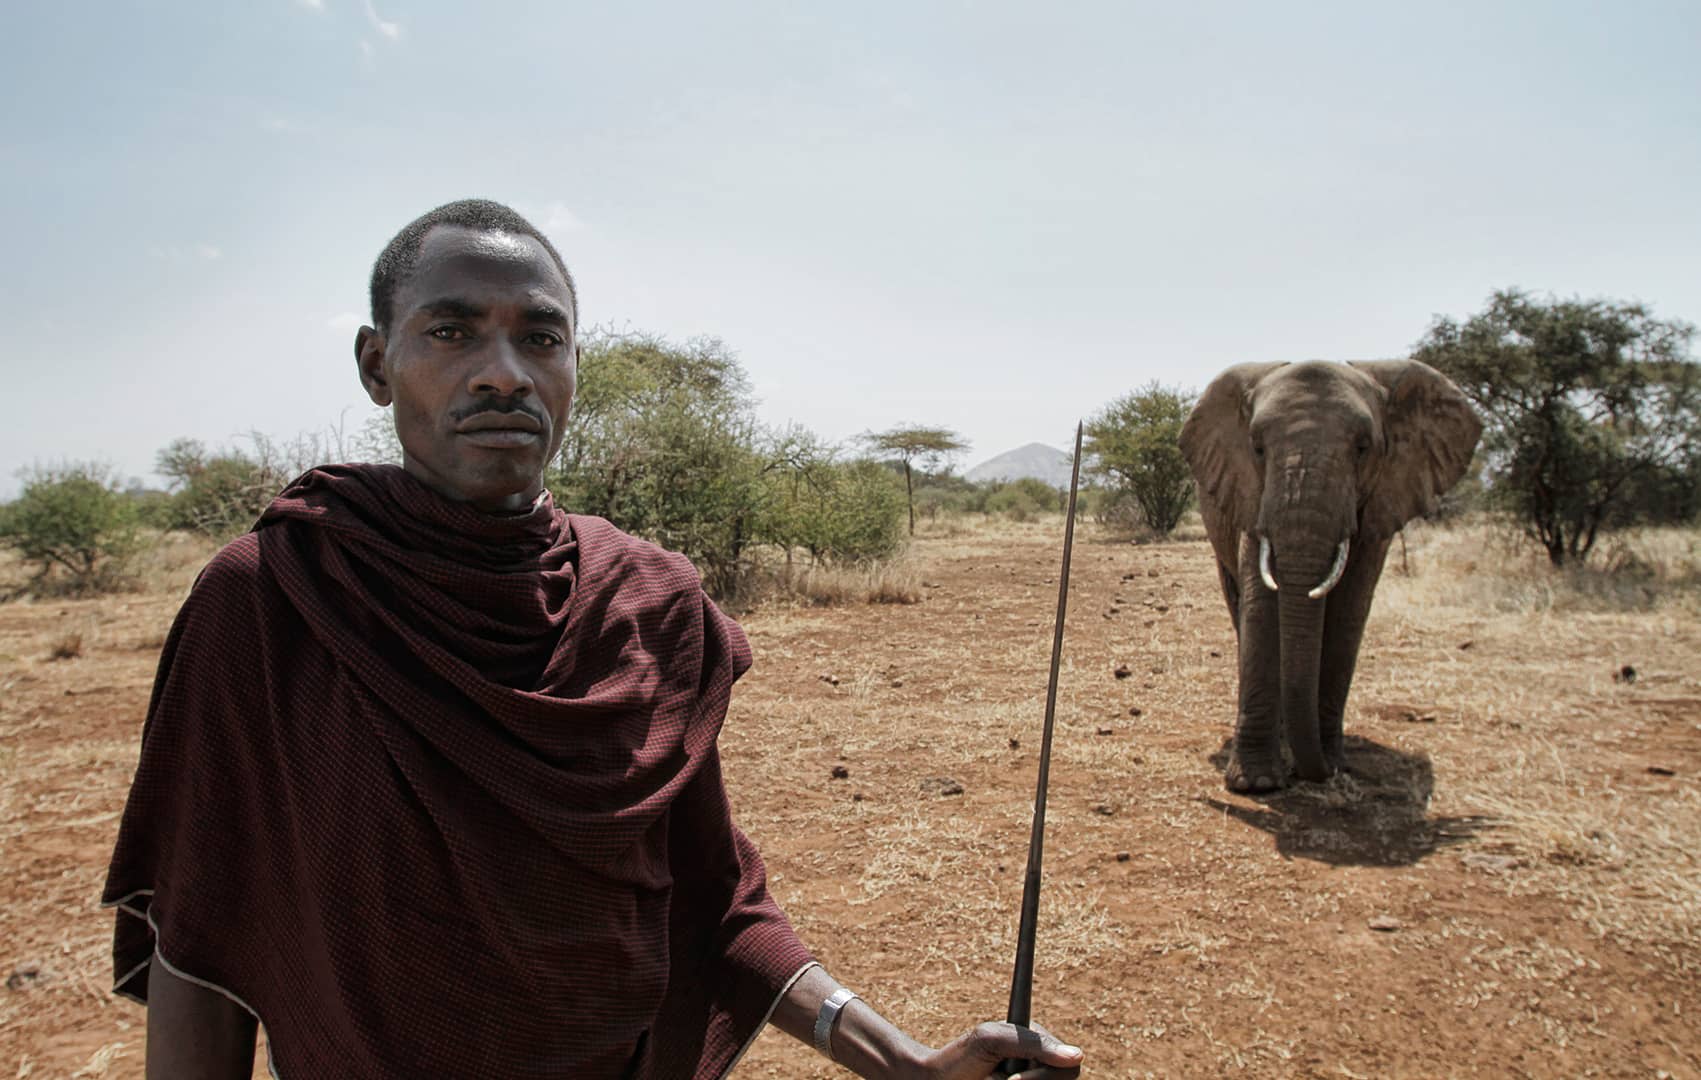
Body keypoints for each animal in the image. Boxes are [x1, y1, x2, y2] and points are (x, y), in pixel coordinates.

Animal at [1178, 360, 1482, 792]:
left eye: (1363, 448)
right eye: (1257, 448)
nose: (1320, 771)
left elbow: (1348, 612)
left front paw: (1331, 763)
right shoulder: (1250, 496)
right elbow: (1261, 608)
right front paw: (1257, 784)